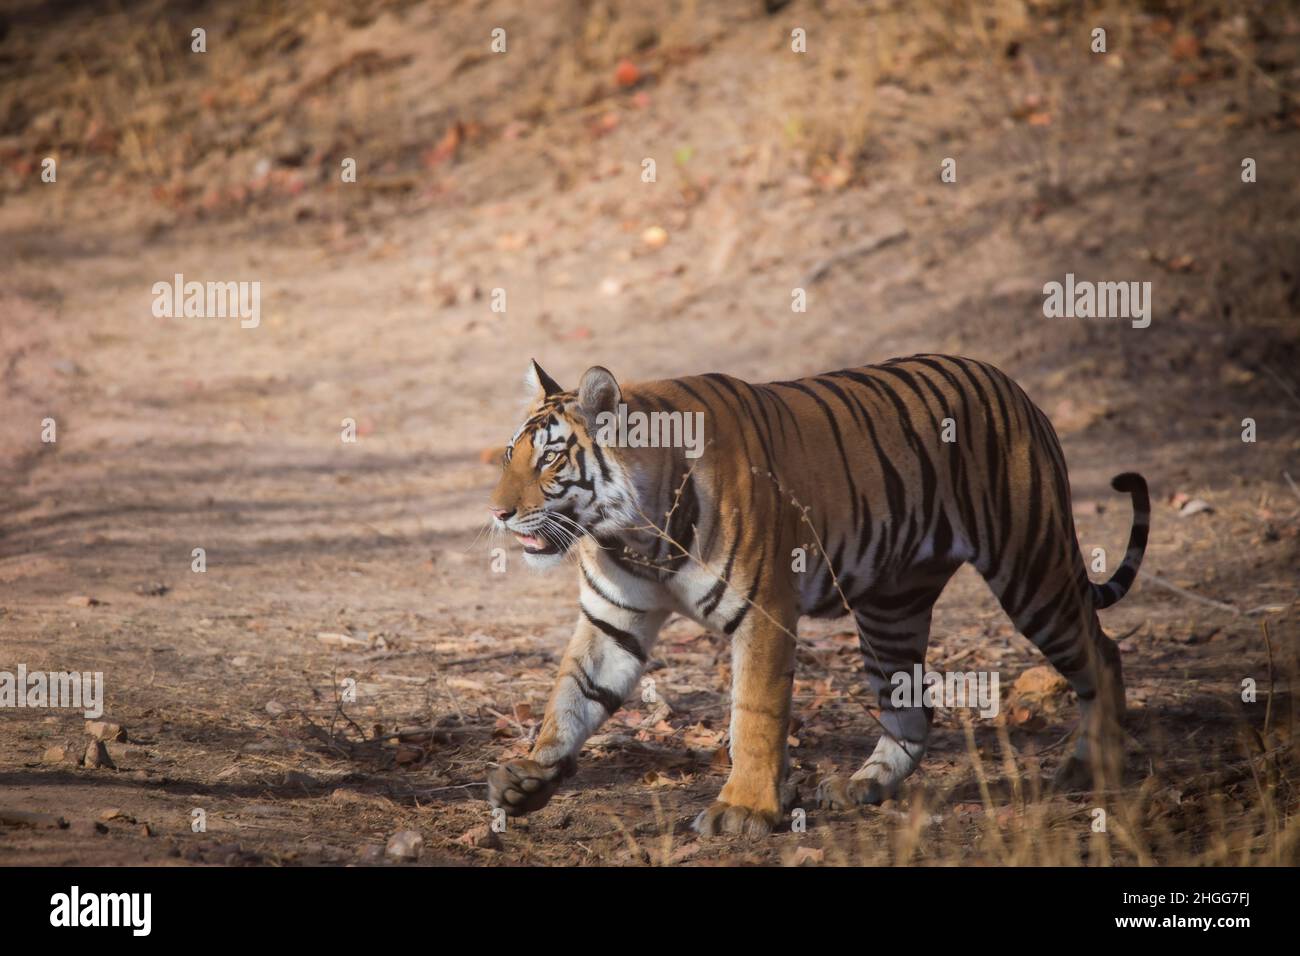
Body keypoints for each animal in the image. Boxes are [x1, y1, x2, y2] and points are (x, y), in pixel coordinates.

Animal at [486, 355, 1149, 836]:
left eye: (551, 459)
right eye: (510, 455)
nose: (497, 513)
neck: (633, 536)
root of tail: (1014, 387)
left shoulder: (763, 612)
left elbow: (754, 714)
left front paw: (744, 809)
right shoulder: (613, 619)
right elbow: (570, 696)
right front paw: (531, 776)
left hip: (1031, 567)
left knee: (1101, 651)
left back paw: (1093, 764)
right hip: (891, 608)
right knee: (912, 706)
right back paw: (864, 784)